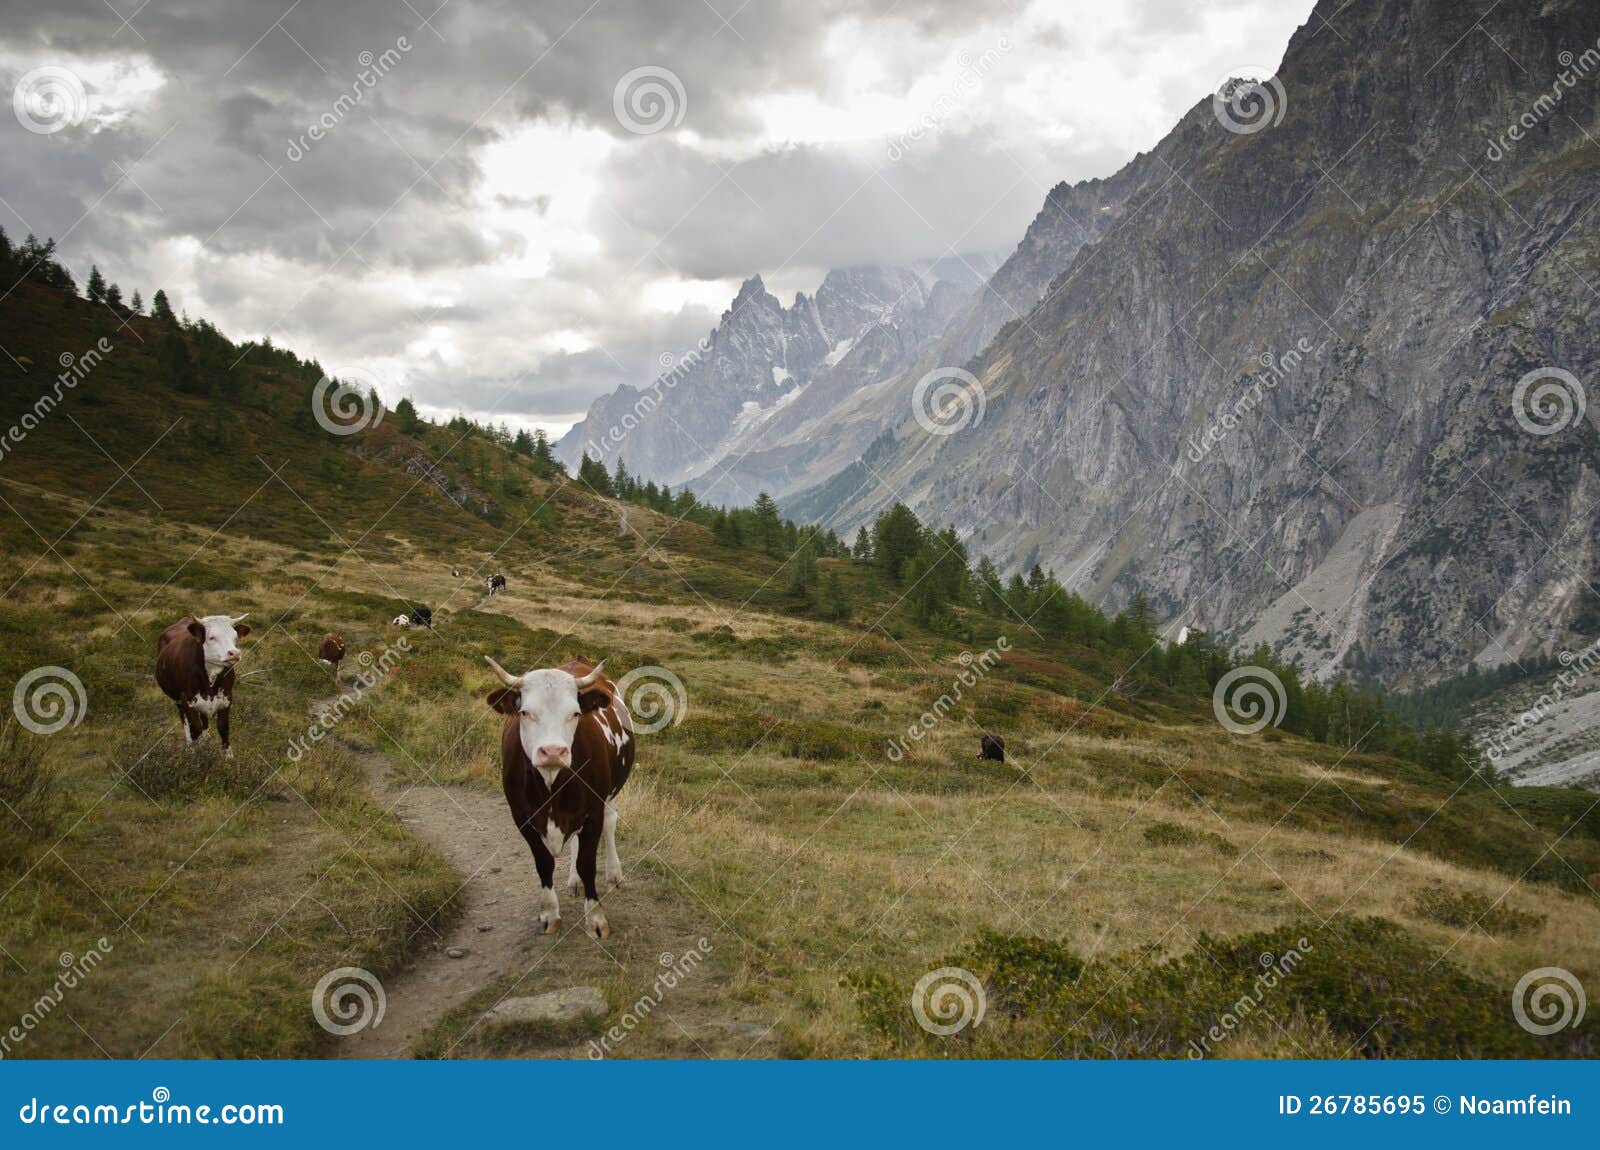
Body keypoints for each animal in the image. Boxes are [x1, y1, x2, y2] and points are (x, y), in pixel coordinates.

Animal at [155, 613, 252, 757]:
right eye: (211, 637)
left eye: (235, 637)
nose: (235, 653)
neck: (210, 680)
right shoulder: (186, 699)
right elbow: (195, 728)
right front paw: (194, 751)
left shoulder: (227, 698)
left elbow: (223, 727)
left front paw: (228, 755)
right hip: (178, 700)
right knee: (185, 720)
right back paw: (190, 745)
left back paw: (205, 738)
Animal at [483, 655, 634, 939]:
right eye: (524, 712)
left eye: (575, 713)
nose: (553, 752)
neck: (551, 785)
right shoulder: (521, 818)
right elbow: (544, 864)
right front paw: (549, 914)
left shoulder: (594, 813)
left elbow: (588, 864)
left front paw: (595, 918)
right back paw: (574, 881)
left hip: (611, 795)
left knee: (611, 824)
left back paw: (615, 874)